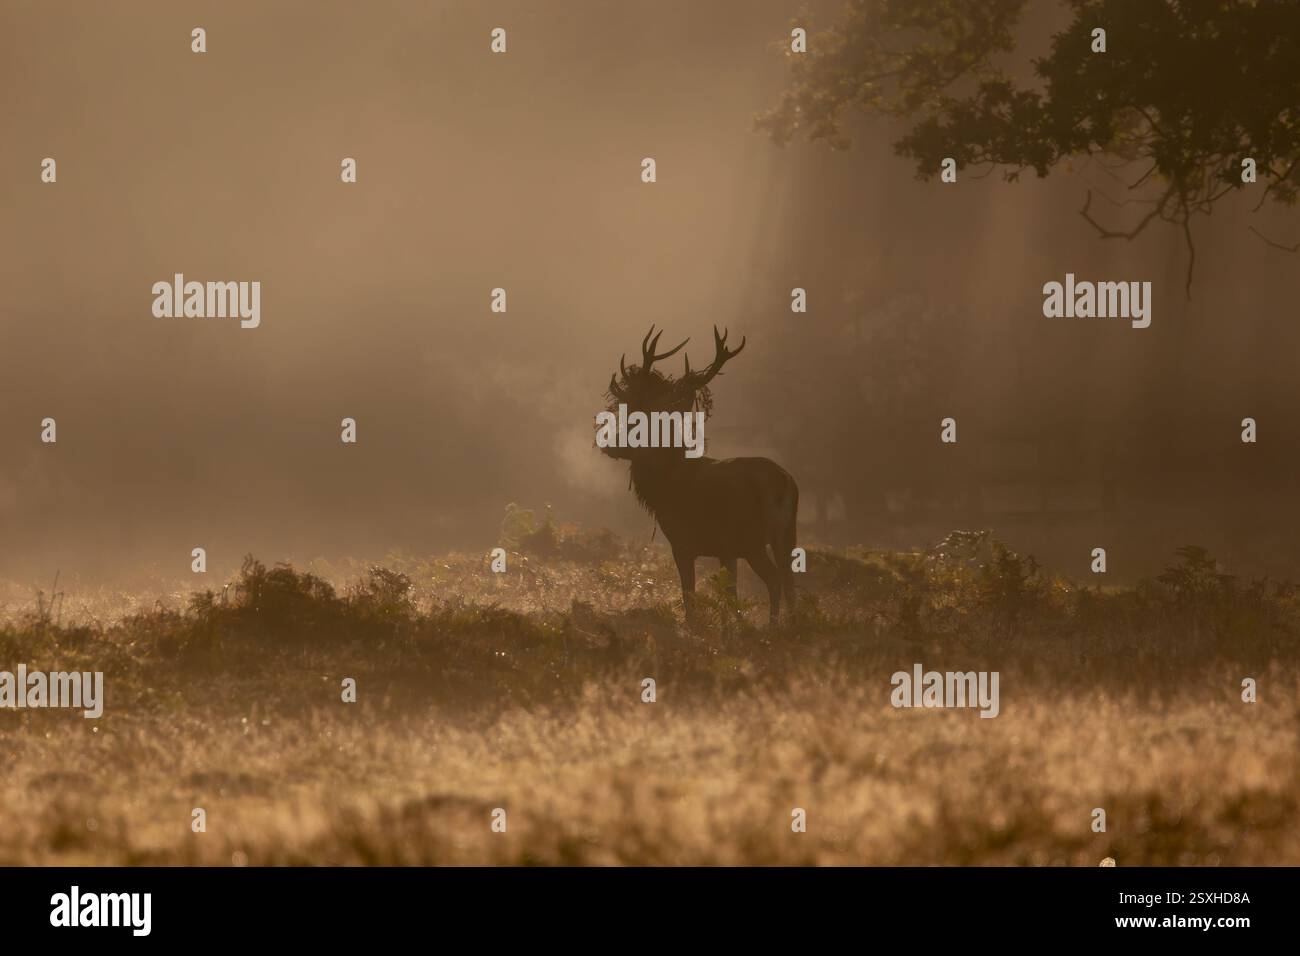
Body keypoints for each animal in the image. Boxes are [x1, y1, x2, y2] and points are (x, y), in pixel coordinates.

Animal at [601, 325, 800, 624]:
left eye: (635, 422)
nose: (608, 443)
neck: (665, 485)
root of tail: (784, 483)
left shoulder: (684, 543)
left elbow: (691, 596)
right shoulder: (724, 550)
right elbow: (727, 593)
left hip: (750, 536)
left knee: (774, 578)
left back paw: (772, 625)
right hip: (787, 534)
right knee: (789, 581)